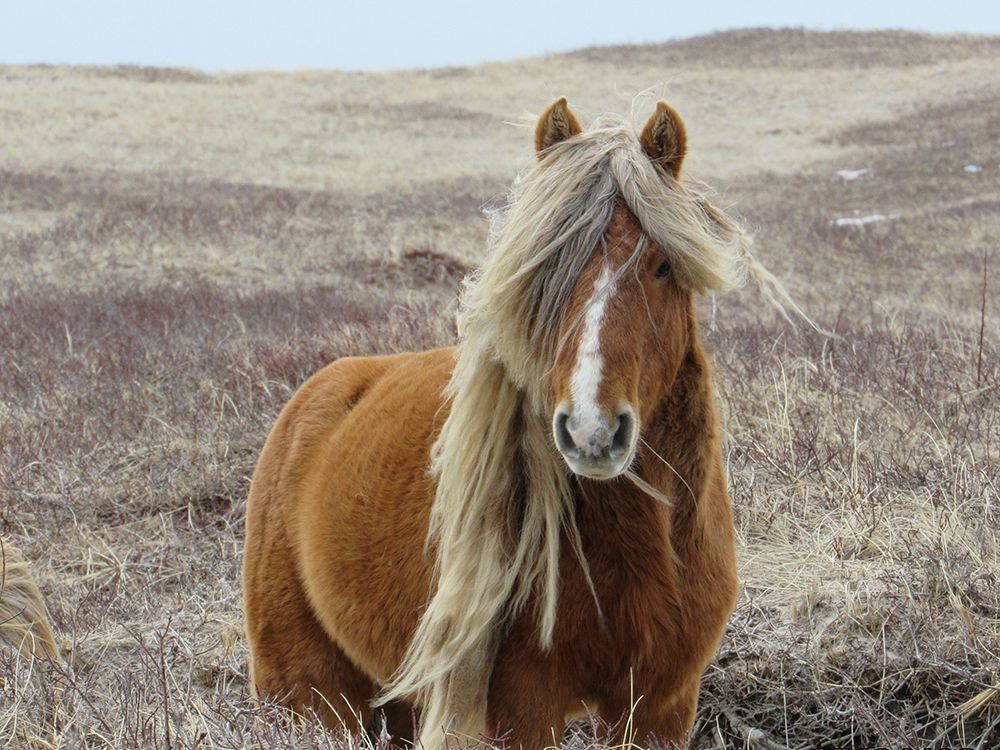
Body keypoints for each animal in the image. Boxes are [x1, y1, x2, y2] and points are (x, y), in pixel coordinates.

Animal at [243, 97, 772, 749]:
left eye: (661, 266)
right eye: (544, 273)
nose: (592, 431)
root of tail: (308, 401)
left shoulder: (662, 706)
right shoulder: (521, 708)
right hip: (309, 695)